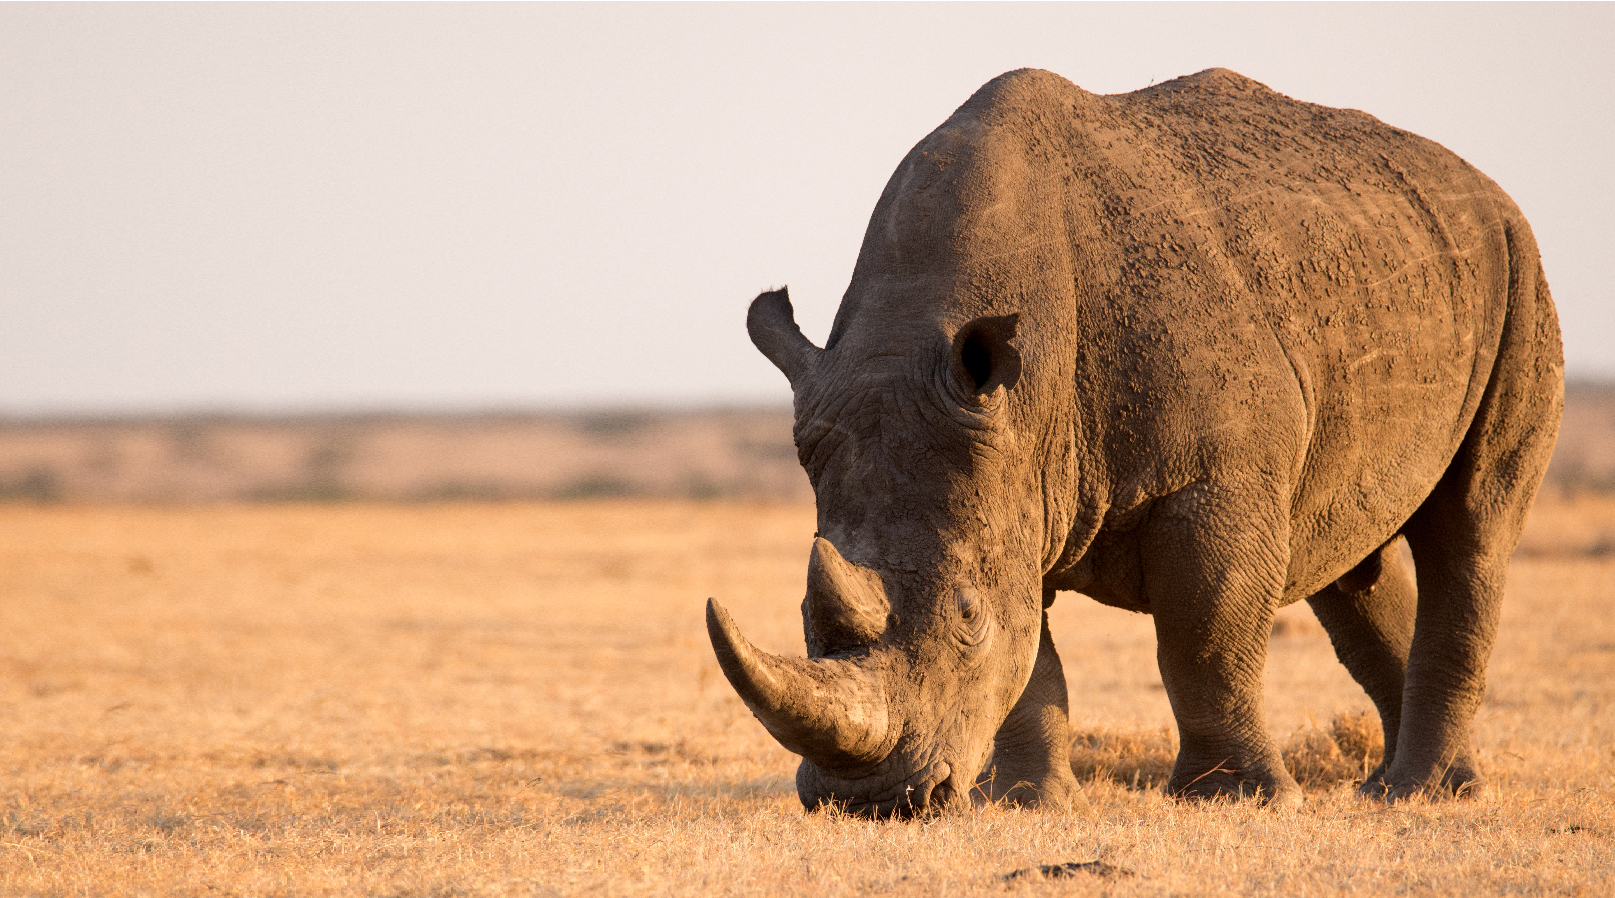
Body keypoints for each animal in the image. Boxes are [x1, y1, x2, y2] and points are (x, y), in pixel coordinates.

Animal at [706, 68, 1563, 816]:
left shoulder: (1209, 481)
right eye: (804, 616)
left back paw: (1426, 792)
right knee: (1347, 558)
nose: (869, 802)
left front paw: (1238, 801)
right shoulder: (1013, 473)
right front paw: (1030, 803)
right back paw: (1396, 788)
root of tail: (1481, 183)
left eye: (965, 618)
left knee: (1469, 531)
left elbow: (1203, 635)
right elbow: (1034, 653)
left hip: (1518, 270)